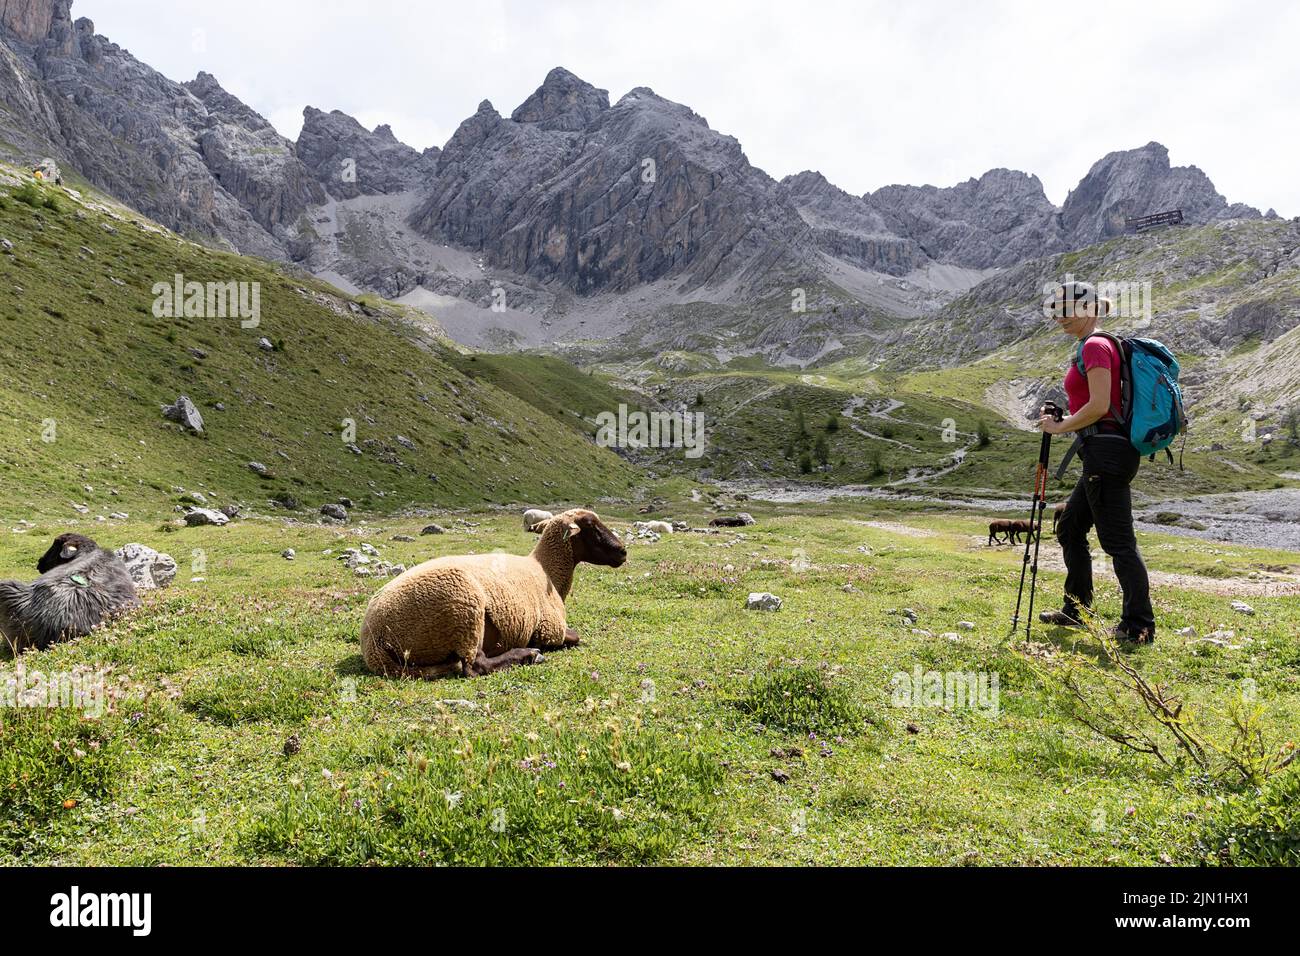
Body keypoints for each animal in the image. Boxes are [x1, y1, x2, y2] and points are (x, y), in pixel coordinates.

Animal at [361, 508, 627, 679]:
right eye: (591, 526)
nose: (623, 552)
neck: (547, 571)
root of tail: (372, 641)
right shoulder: (550, 629)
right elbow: (575, 637)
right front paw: (535, 648)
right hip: (464, 614)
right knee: (474, 667)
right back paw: (528, 655)